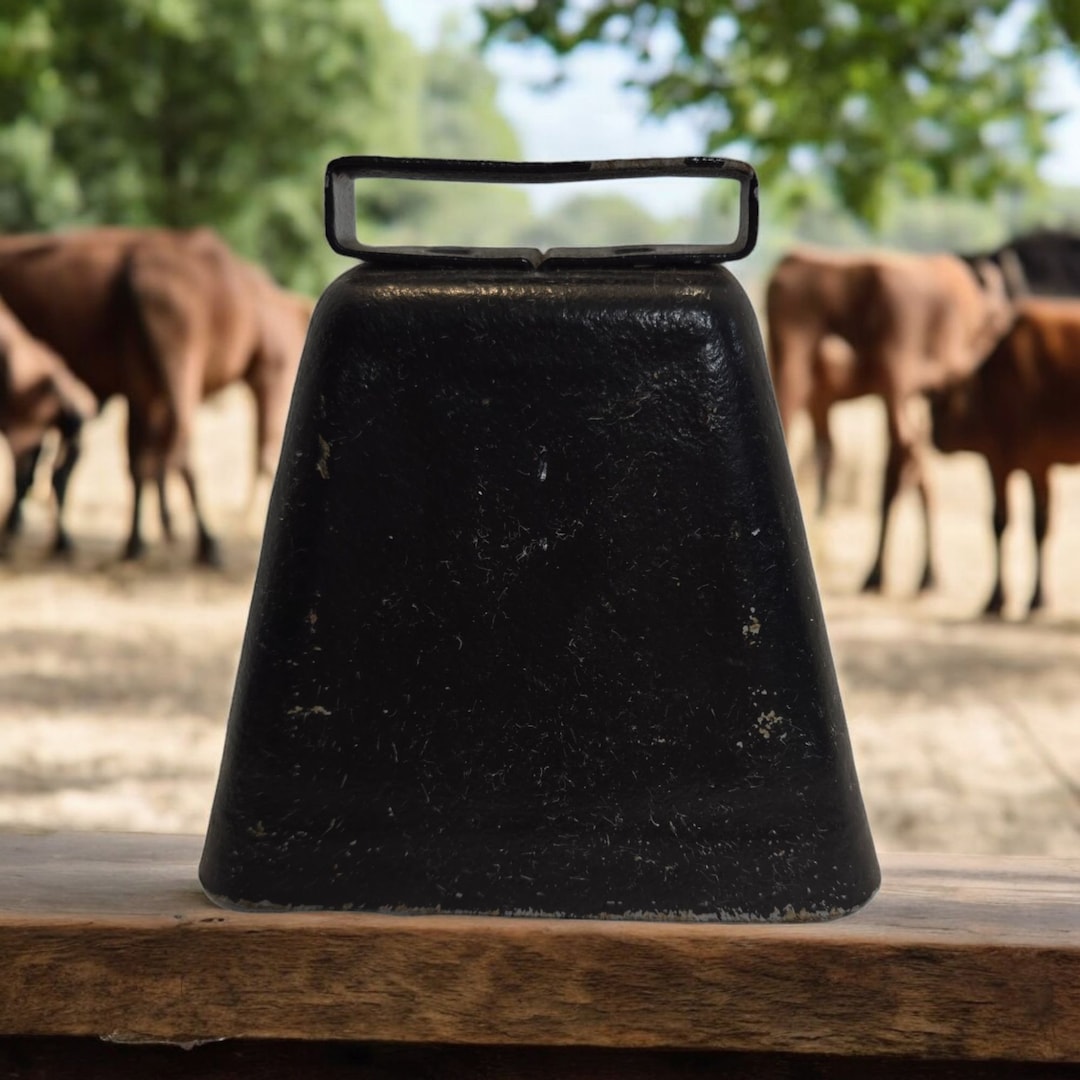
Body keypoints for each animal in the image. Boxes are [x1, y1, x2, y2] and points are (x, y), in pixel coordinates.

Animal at [766, 246, 1014, 593]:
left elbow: (897, 469)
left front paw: (904, 574)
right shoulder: (901, 383)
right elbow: (907, 469)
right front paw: (914, 574)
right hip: (800, 363)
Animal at [929, 297, 1080, 616]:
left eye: (944, 405)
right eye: (930, 407)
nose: (935, 439)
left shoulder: (1037, 461)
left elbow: (1039, 525)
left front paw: (1036, 598)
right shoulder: (997, 462)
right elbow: (998, 522)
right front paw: (996, 599)